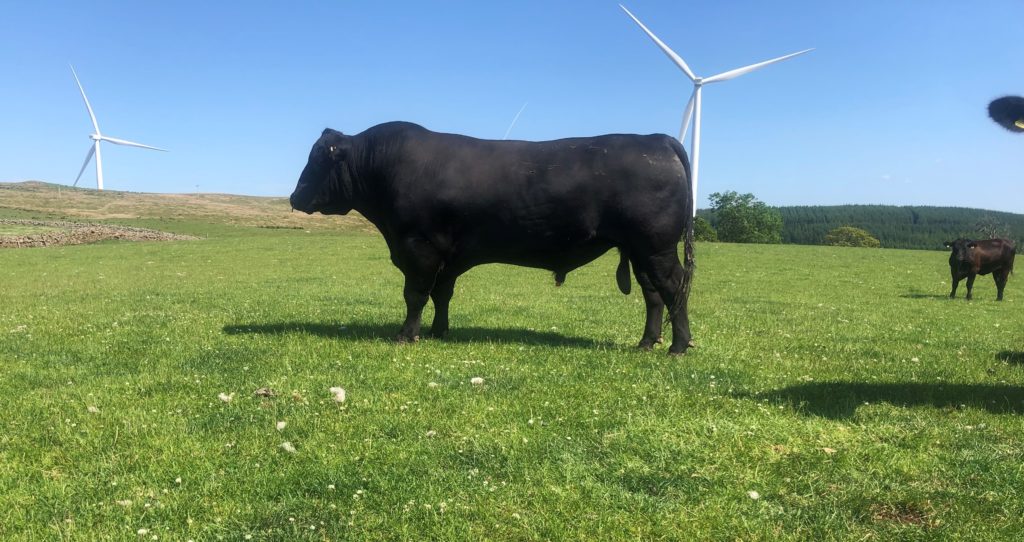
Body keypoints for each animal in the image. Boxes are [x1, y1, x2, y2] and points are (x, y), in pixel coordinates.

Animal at [289, 121, 696, 354]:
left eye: (317, 159)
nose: (294, 197)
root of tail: (658, 140)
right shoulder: (447, 255)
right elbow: (441, 295)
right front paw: (439, 332)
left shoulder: (419, 248)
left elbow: (415, 295)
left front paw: (407, 335)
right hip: (640, 249)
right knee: (653, 293)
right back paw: (647, 343)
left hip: (656, 246)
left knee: (673, 287)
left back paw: (678, 346)